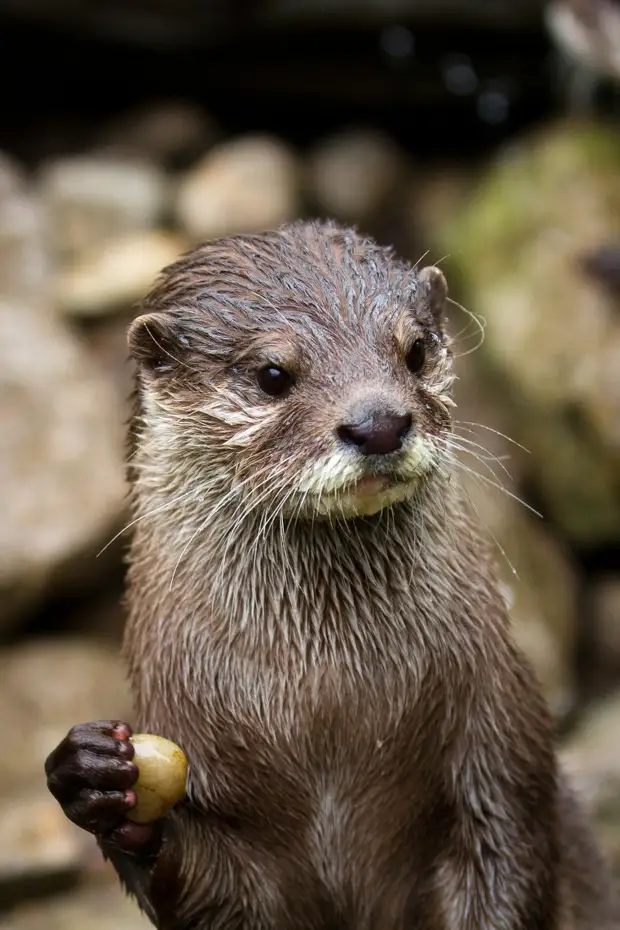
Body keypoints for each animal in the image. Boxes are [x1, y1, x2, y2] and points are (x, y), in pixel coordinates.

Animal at [44, 219, 620, 928]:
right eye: (272, 373)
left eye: (416, 351)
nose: (379, 421)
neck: (328, 707)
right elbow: (215, 895)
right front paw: (93, 779)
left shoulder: (502, 739)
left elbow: (507, 859)